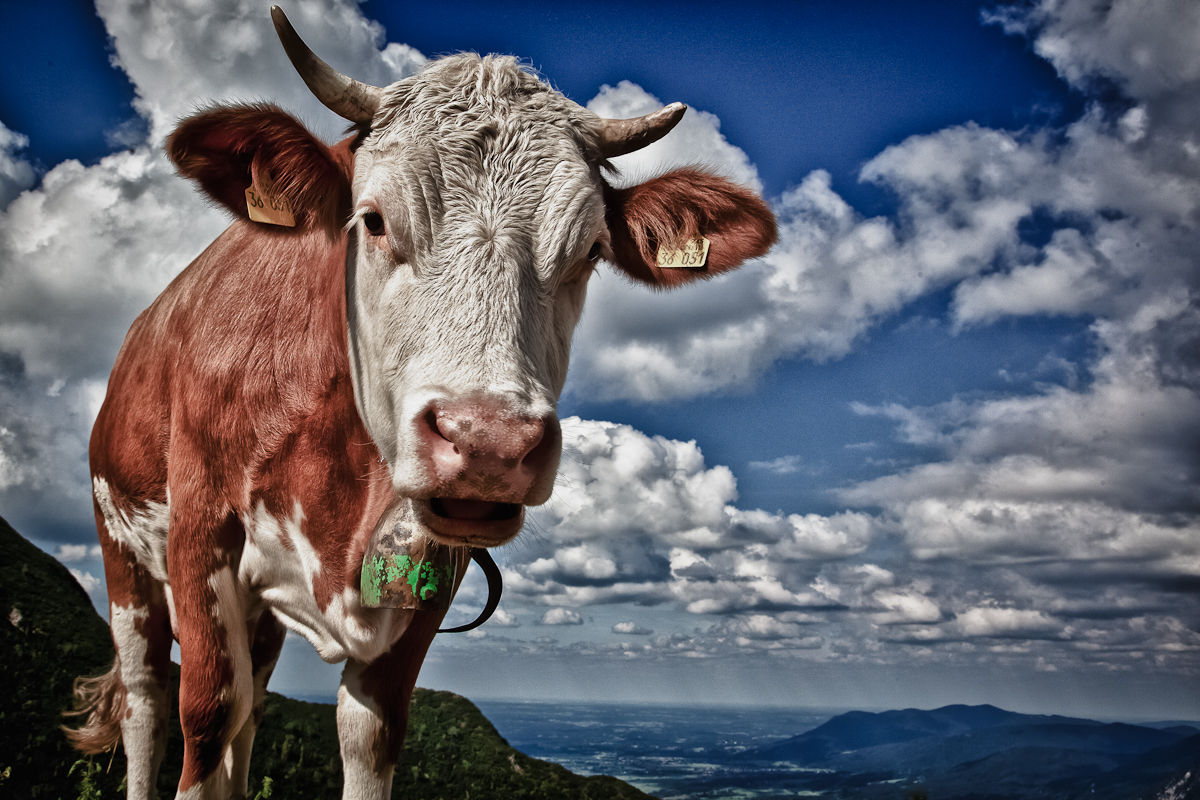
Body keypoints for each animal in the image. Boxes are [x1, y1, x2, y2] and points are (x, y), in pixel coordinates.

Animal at [66, 7, 776, 799]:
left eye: (591, 250)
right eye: (373, 220)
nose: (488, 442)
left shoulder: (429, 575)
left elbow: (367, 734)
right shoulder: (199, 530)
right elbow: (207, 712)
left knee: (248, 716)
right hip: (122, 550)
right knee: (152, 701)